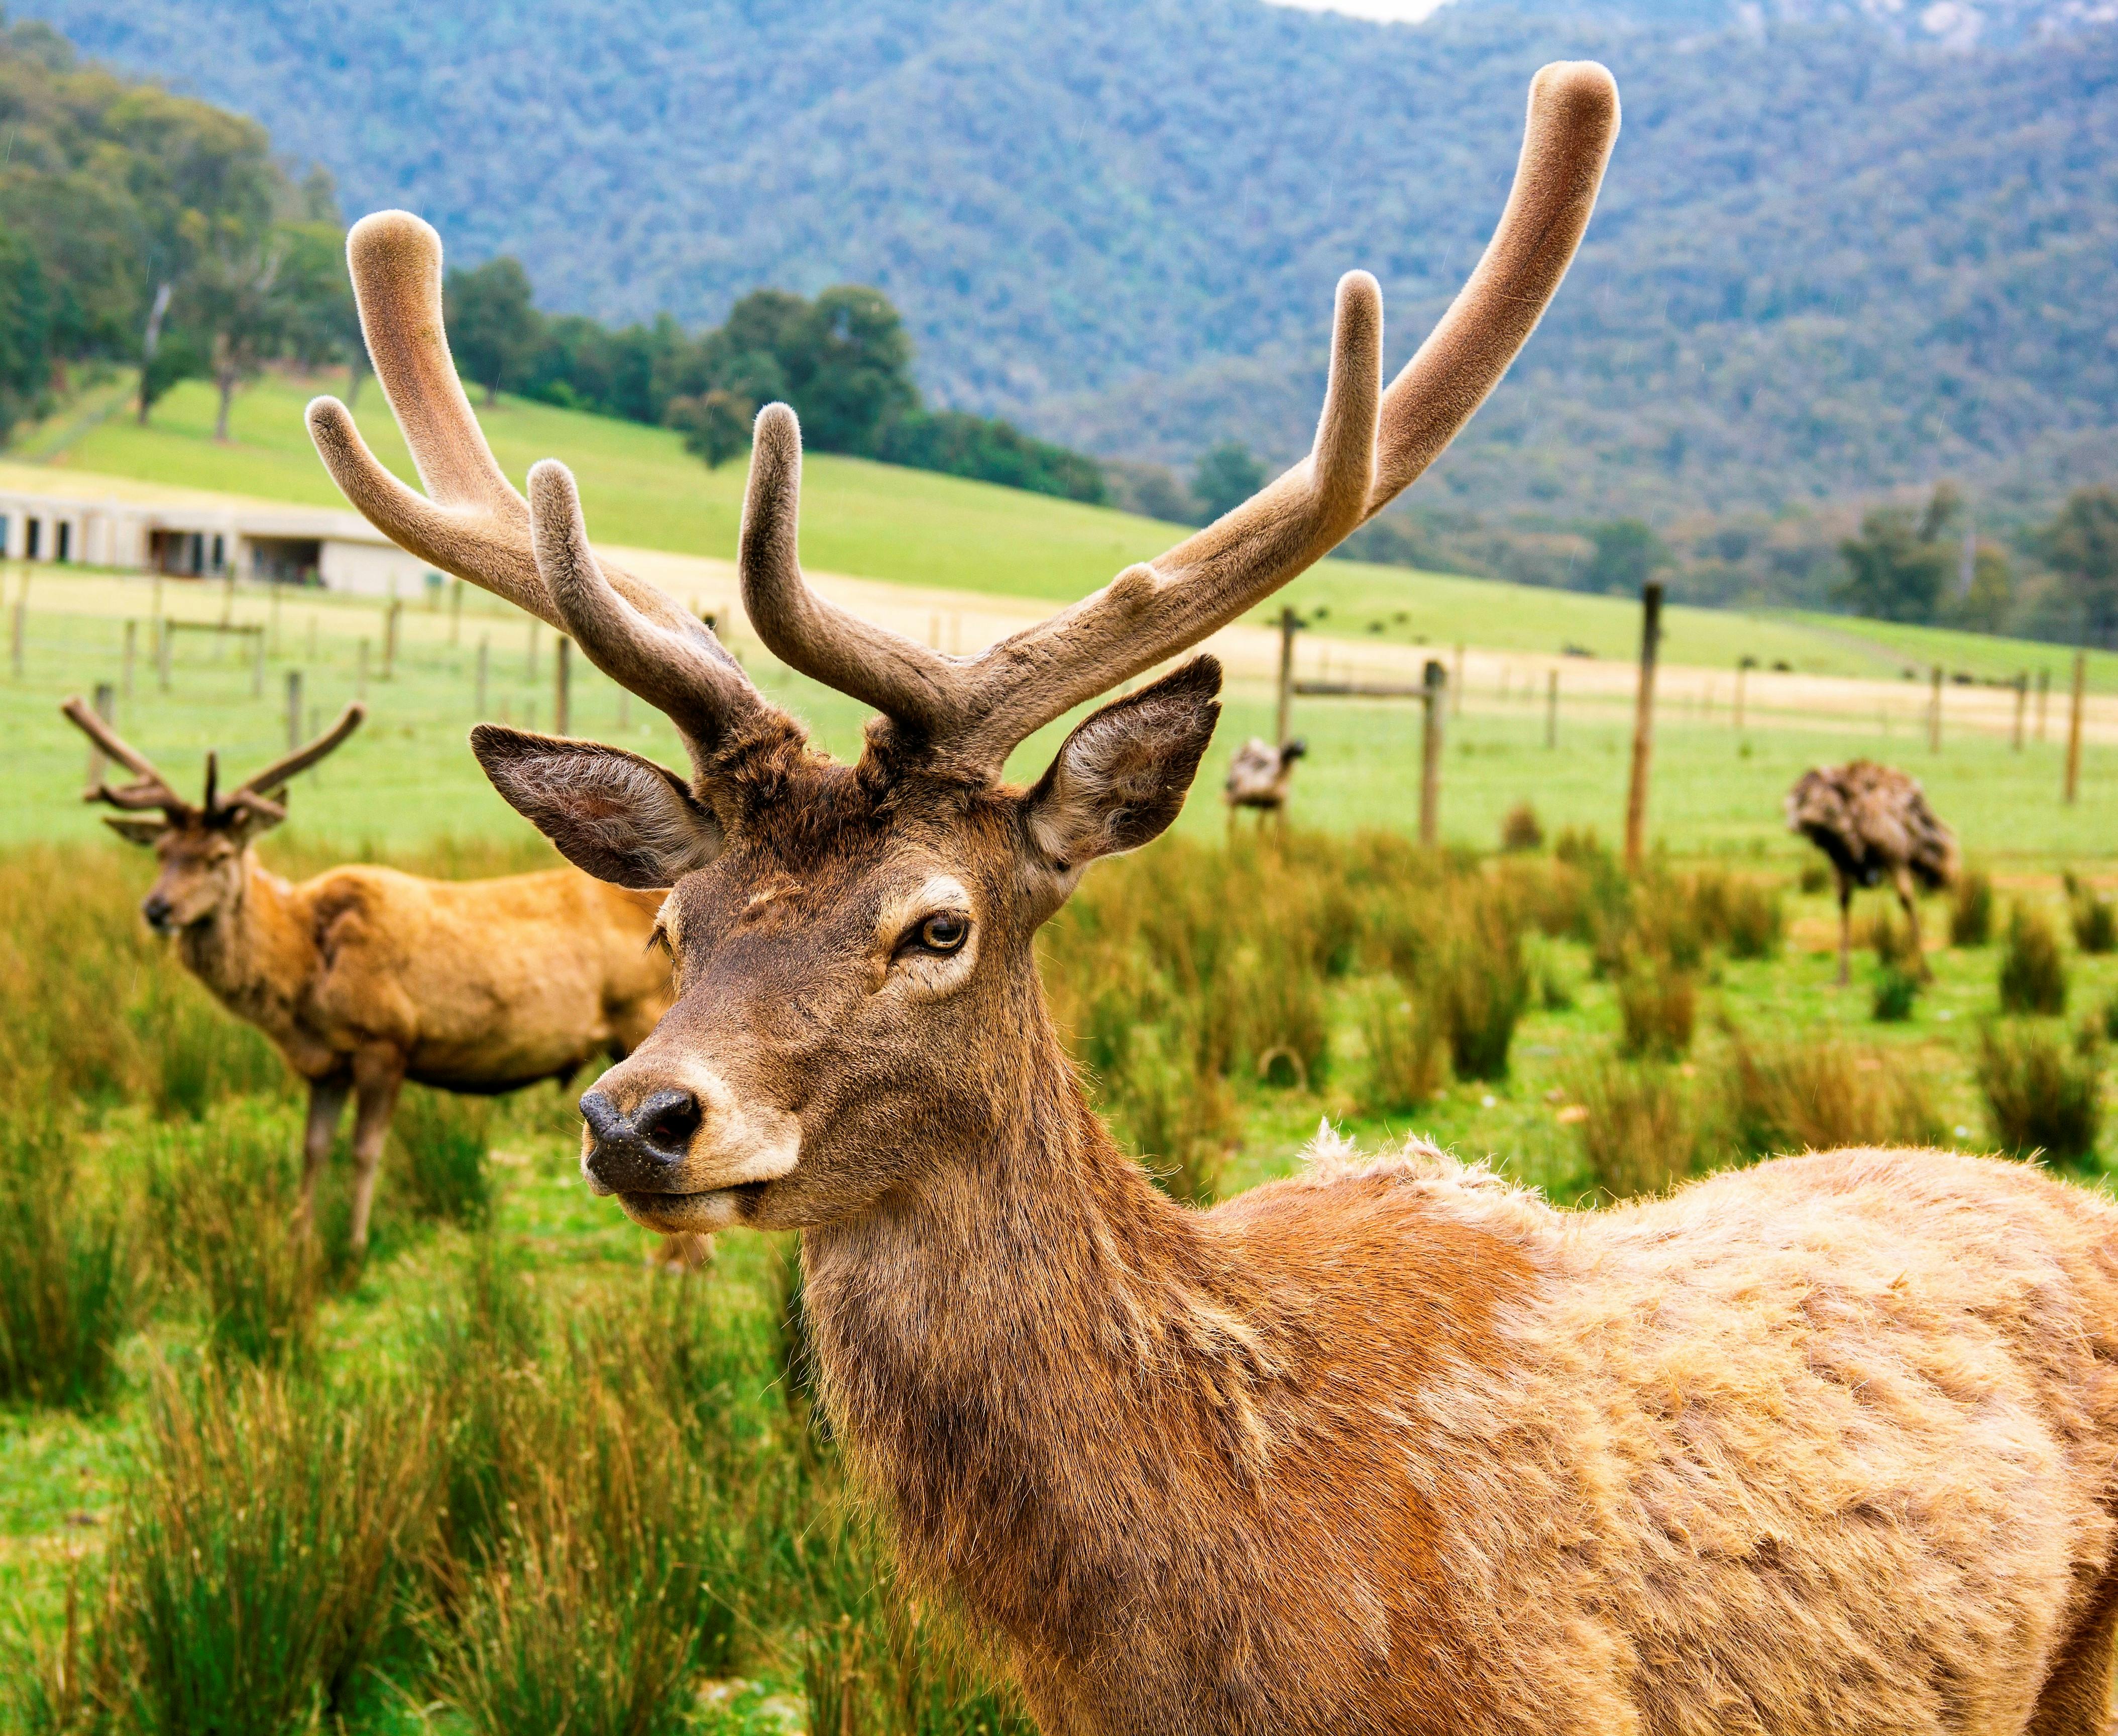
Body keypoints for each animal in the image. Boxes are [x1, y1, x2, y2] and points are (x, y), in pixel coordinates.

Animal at [59, 700, 683, 1260]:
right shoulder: (325, 1062)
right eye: (161, 852)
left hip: (636, 1013)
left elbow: (364, 1151)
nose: (157, 909)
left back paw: (673, 1264)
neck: (304, 979)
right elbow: (312, 1148)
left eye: (217, 855)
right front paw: (298, 1242)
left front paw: (355, 1247)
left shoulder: (386, 1039)